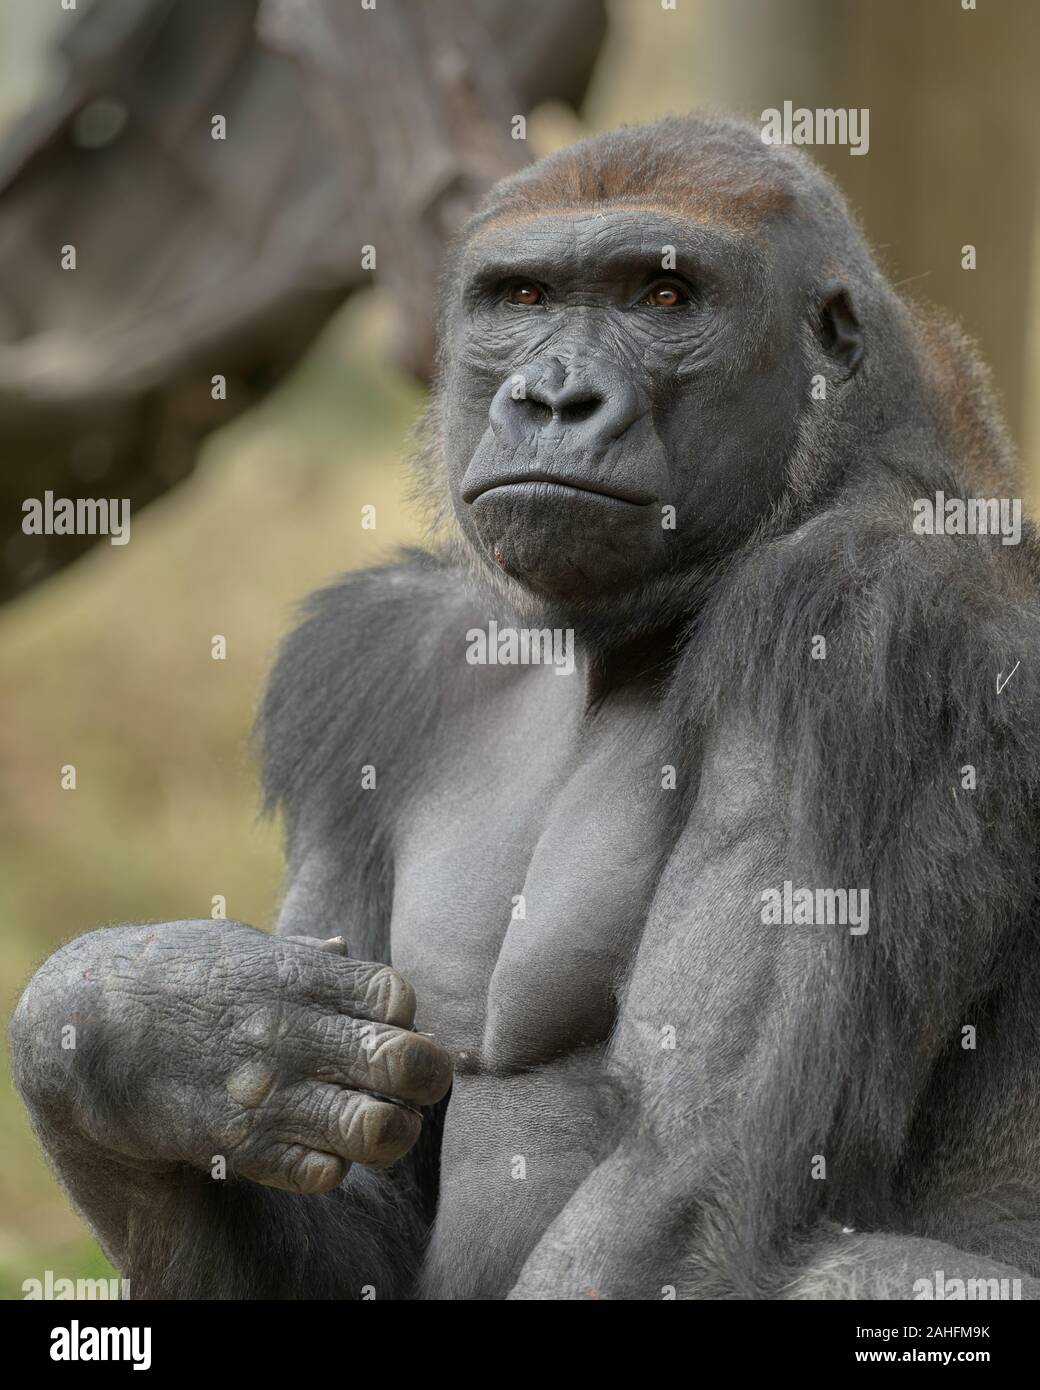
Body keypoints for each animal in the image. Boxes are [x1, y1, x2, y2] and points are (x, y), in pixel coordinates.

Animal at [11, 114, 1040, 1300]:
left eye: (663, 297)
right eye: (523, 298)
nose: (553, 398)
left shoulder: (868, 613)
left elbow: (683, 1170)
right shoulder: (374, 659)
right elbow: (357, 1202)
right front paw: (141, 1035)